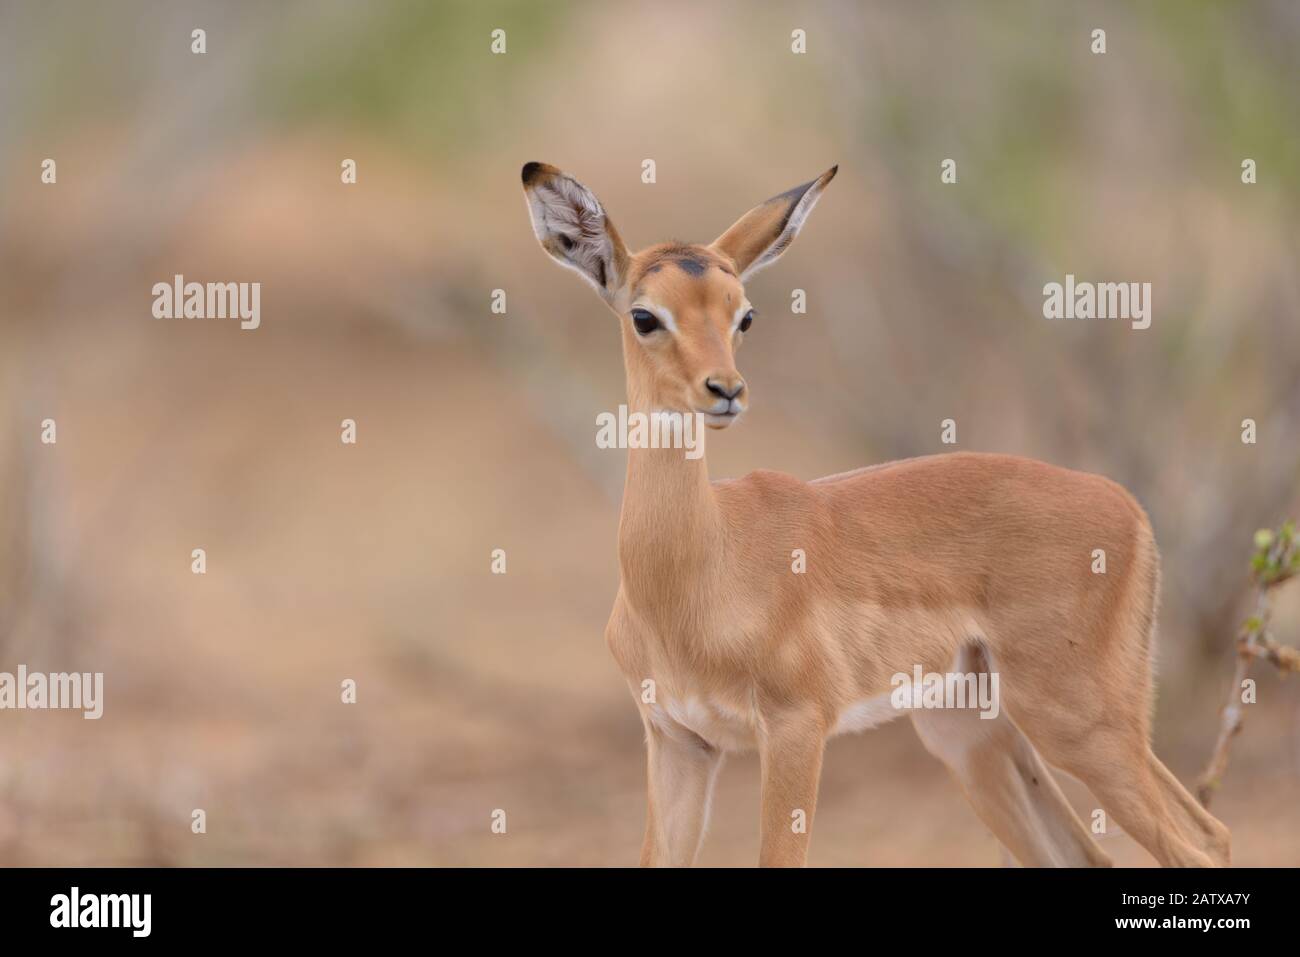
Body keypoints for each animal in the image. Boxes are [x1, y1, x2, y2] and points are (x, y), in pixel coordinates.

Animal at [520, 161, 1231, 868]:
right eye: (644, 315)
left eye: (744, 315)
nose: (725, 391)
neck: (697, 573)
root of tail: (1128, 507)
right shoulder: (679, 742)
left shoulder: (796, 728)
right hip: (972, 732)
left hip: (1078, 721)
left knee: (1202, 842)